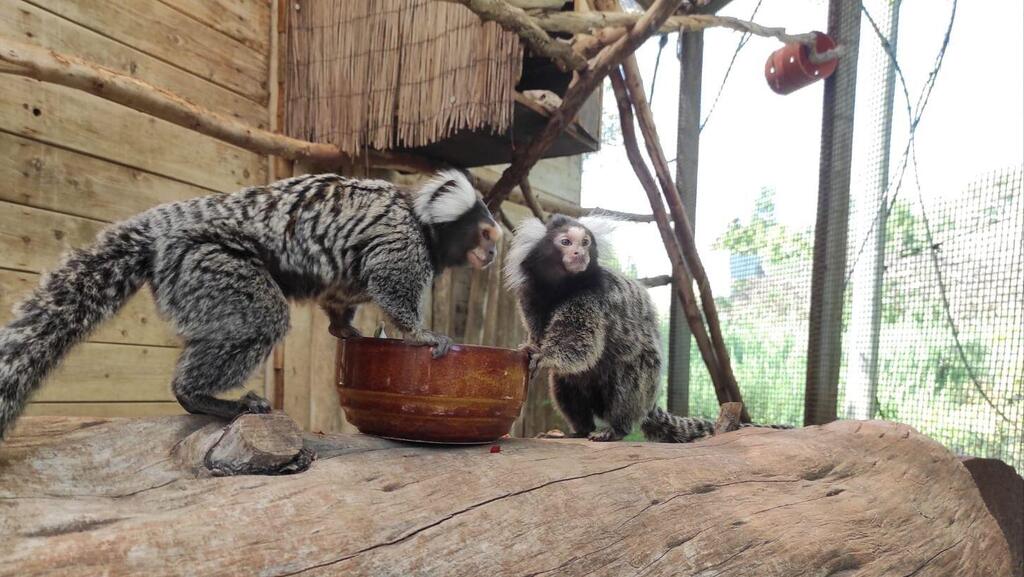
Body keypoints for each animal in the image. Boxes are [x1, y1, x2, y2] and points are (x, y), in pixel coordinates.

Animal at [0, 169, 500, 440]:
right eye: (486, 234)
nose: (494, 253)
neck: (422, 221)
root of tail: (161, 224)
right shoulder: (402, 242)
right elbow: (393, 292)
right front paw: (422, 336)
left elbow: (340, 297)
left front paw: (344, 328)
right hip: (207, 260)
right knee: (260, 320)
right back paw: (201, 396)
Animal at [506, 214, 790, 443]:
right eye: (566, 242)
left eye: (585, 242)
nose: (579, 254)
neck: (560, 287)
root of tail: (651, 403)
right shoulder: (530, 295)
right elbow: (541, 335)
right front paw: (530, 347)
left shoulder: (592, 297)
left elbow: (580, 343)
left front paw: (543, 356)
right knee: (564, 381)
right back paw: (580, 430)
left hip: (645, 382)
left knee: (629, 374)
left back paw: (615, 429)